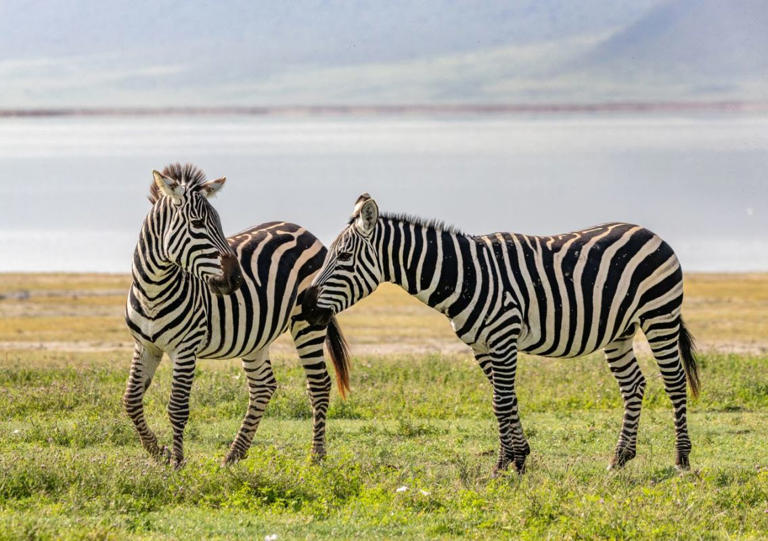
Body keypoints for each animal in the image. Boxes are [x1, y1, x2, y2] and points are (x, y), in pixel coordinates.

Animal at [123, 163, 350, 468]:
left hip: (307, 323)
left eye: (219, 223)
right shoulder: (145, 346)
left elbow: (178, 407)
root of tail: (304, 230)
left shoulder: (185, 348)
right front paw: (157, 450)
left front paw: (178, 462)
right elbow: (131, 400)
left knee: (319, 384)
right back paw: (234, 453)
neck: (152, 291)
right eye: (197, 224)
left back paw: (316, 456)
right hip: (256, 336)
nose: (237, 280)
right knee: (264, 386)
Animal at [302, 193, 700, 475]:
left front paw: (505, 464)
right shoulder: (481, 345)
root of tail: (650, 233)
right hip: (618, 332)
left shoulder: (504, 336)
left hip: (659, 315)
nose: (306, 307)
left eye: (344, 257)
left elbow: (501, 401)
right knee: (633, 385)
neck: (463, 274)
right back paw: (620, 457)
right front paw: (516, 459)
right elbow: (505, 401)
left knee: (675, 382)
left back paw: (681, 459)